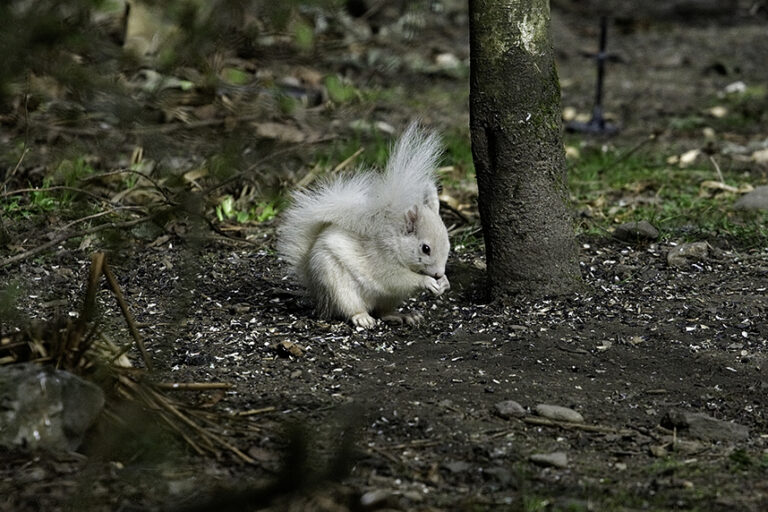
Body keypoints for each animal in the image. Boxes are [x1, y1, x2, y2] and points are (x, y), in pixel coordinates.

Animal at [277, 123, 451, 328]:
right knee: (351, 308)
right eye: (425, 248)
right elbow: (396, 279)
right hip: (338, 288)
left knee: (383, 312)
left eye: (448, 245)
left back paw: (402, 315)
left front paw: (445, 283)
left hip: (389, 299)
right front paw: (427, 281)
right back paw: (362, 317)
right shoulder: (381, 258)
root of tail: (315, 289)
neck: (395, 239)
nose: (439, 274)